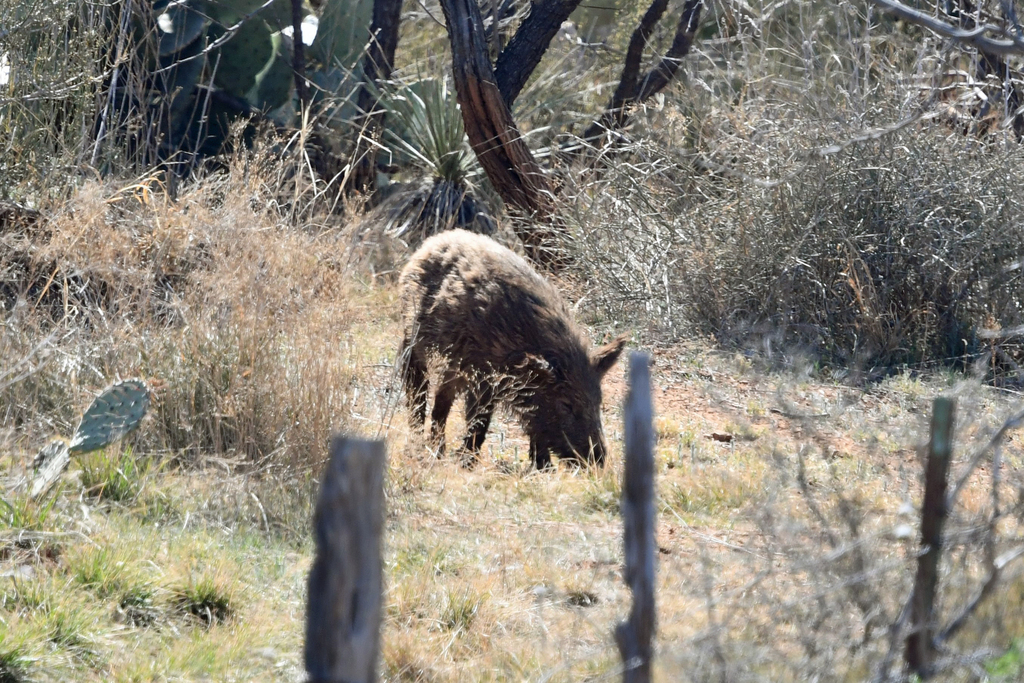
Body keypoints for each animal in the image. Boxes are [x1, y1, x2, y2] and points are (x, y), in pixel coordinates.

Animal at [397, 229, 626, 469]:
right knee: (420, 396)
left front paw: (542, 468)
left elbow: (534, 425)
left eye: (599, 401)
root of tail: (431, 242)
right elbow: (479, 421)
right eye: (566, 404)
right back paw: (426, 449)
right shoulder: (482, 377)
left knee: (441, 399)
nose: (598, 460)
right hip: (412, 343)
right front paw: (467, 463)